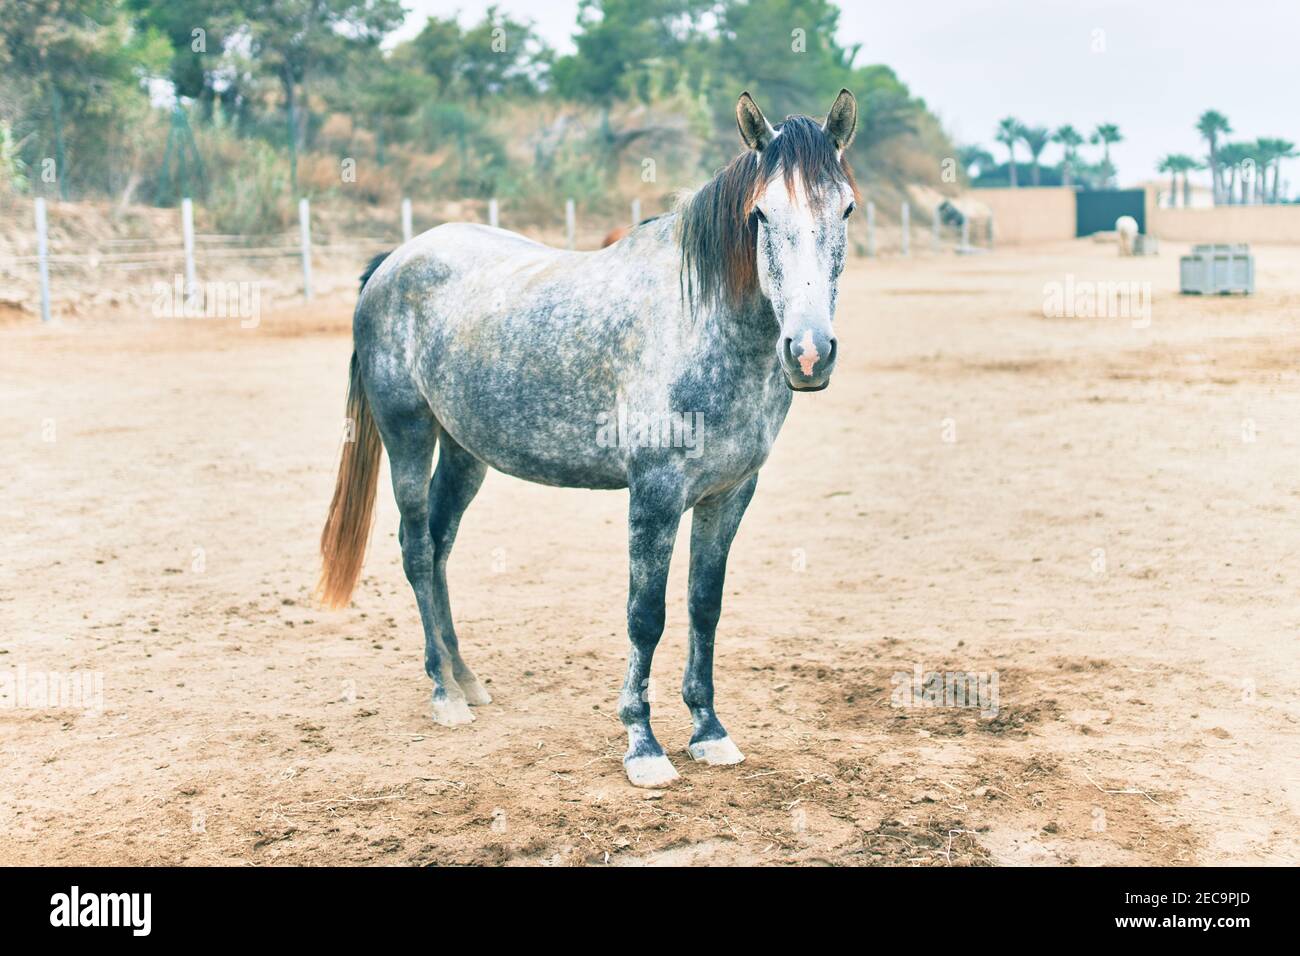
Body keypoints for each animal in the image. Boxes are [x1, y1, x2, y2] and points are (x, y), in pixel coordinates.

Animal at [318, 89, 860, 788]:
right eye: (761, 213)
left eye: (845, 207)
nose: (809, 352)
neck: (699, 322)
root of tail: (392, 263)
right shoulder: (655, 495)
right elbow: (646, 616)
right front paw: (644, 745)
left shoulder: (730, 494)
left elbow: (703, 606)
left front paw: (709, 730)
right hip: (407, 433)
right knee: (415, 548)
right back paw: (443, 695)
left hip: (465, 454)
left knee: (439, 547)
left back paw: (465, 679)